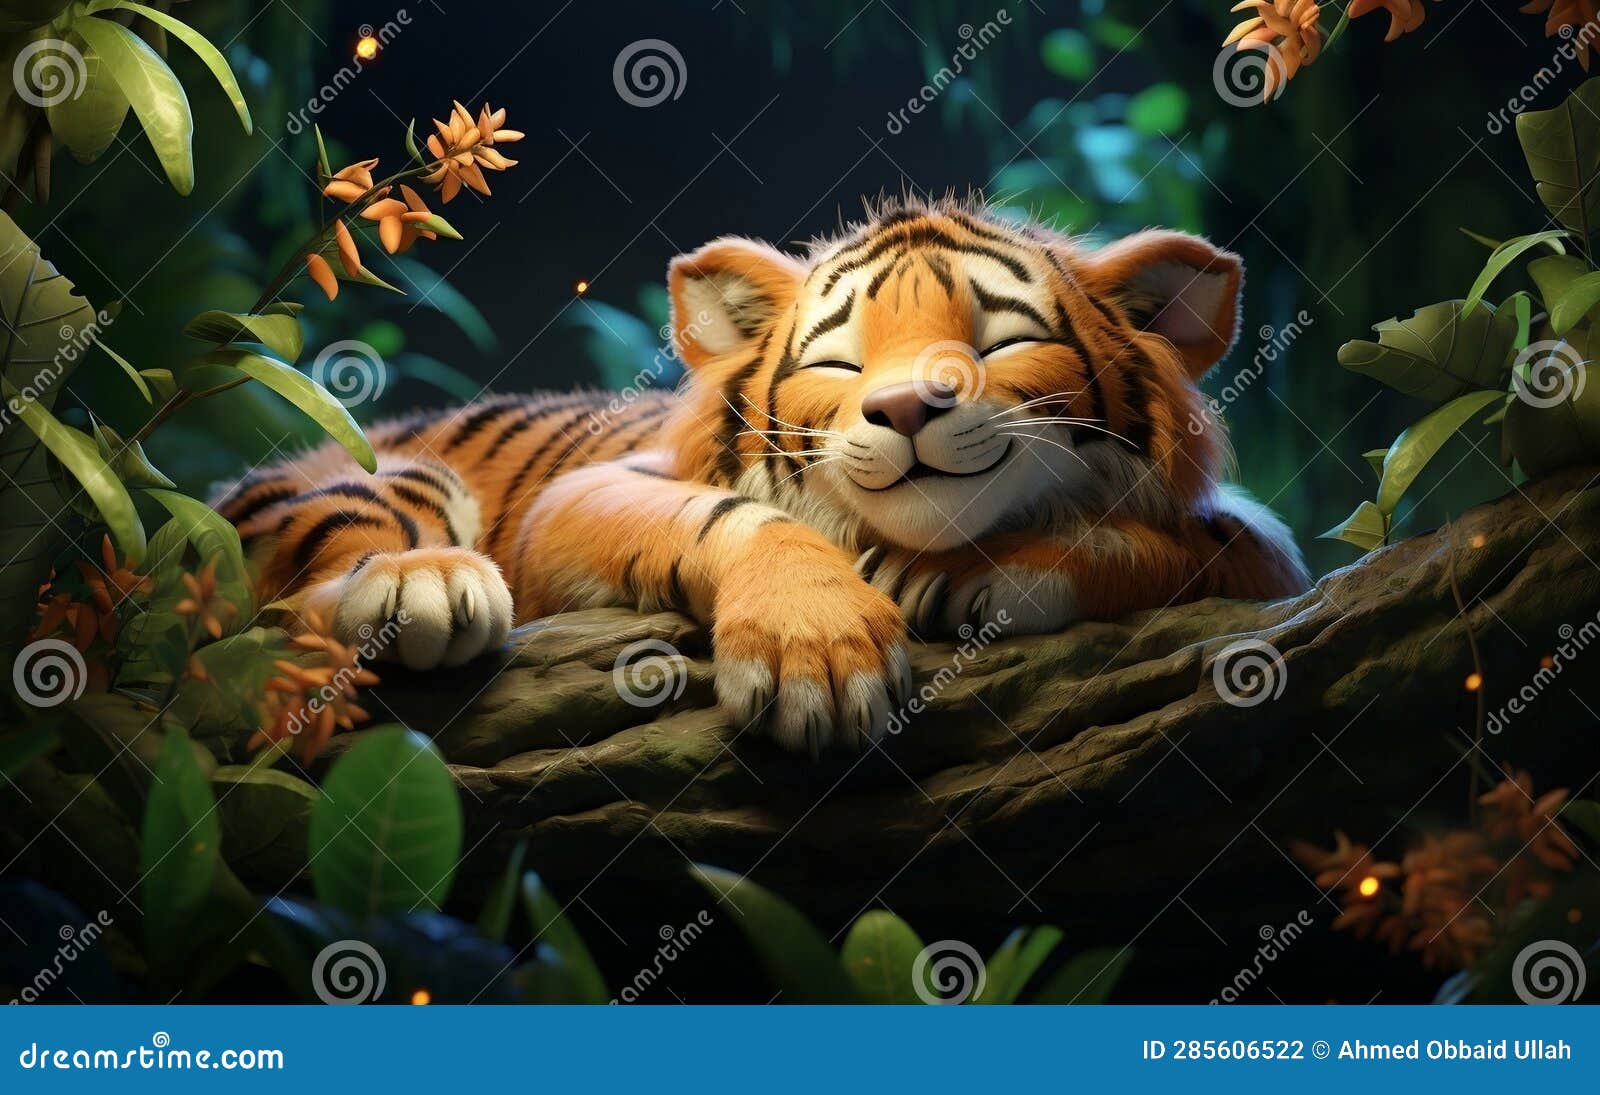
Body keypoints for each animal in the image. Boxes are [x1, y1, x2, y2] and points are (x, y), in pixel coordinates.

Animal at [214, 196, 1309, 757]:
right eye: (842, 364)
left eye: (1000, 345)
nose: (909, 406)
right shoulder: (586, 494)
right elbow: (733, 520)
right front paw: (812, 653)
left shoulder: (1269, 554)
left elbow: (1178, 540)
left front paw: (958, 575)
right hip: (375, 480)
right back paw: (426, 586)